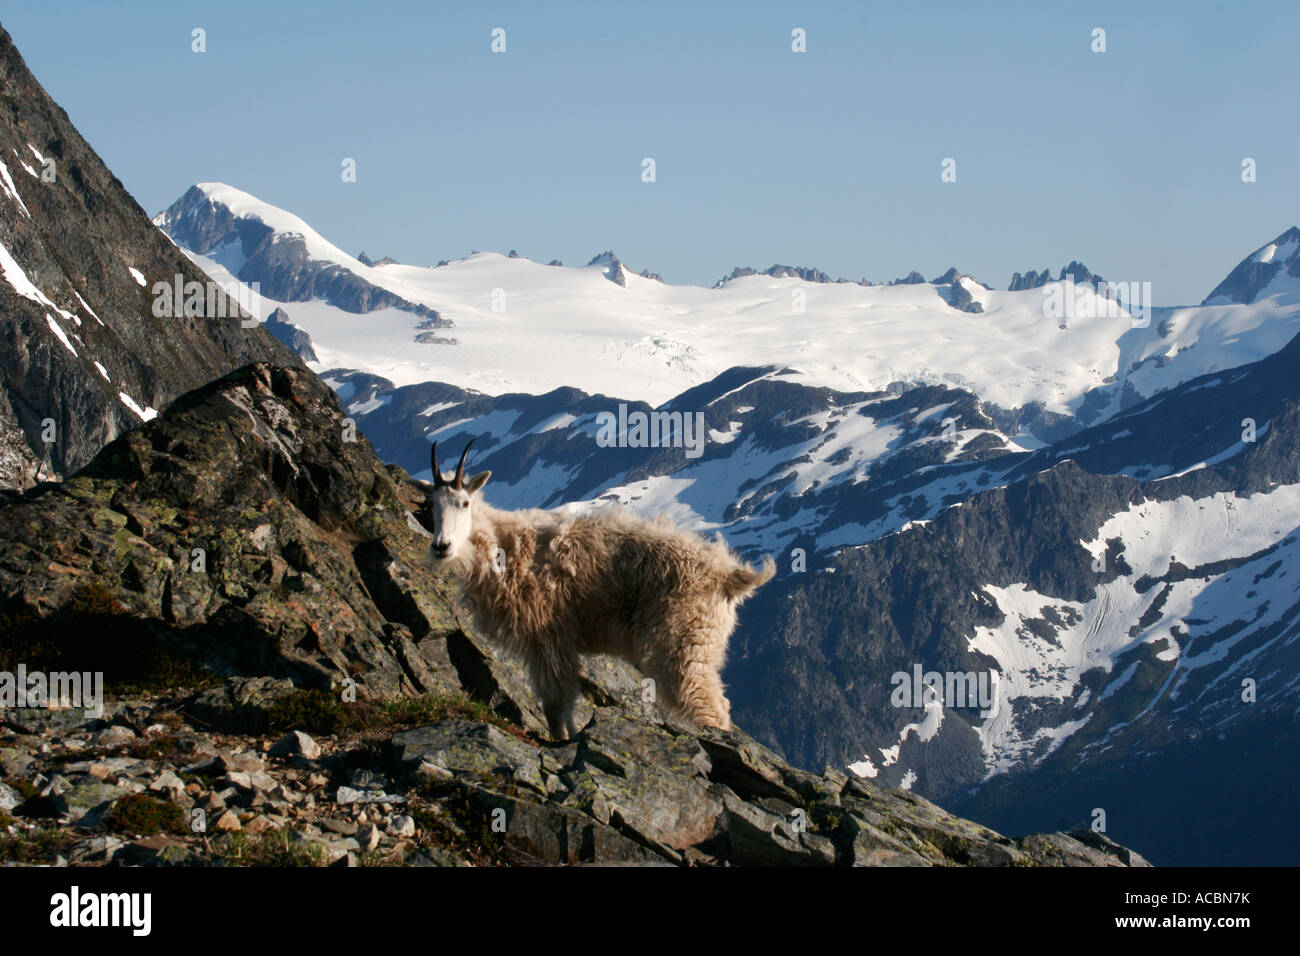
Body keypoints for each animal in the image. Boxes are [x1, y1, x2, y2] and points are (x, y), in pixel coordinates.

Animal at [424, 440, 775, 740]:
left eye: (464, 503)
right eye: (432, 506)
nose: (441, 546)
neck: (504, 545)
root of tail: (728, 575)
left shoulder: (548, 636)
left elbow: (556, 706)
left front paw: (563, 742)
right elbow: (562, 703)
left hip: (685, 644)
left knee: (710, 709)